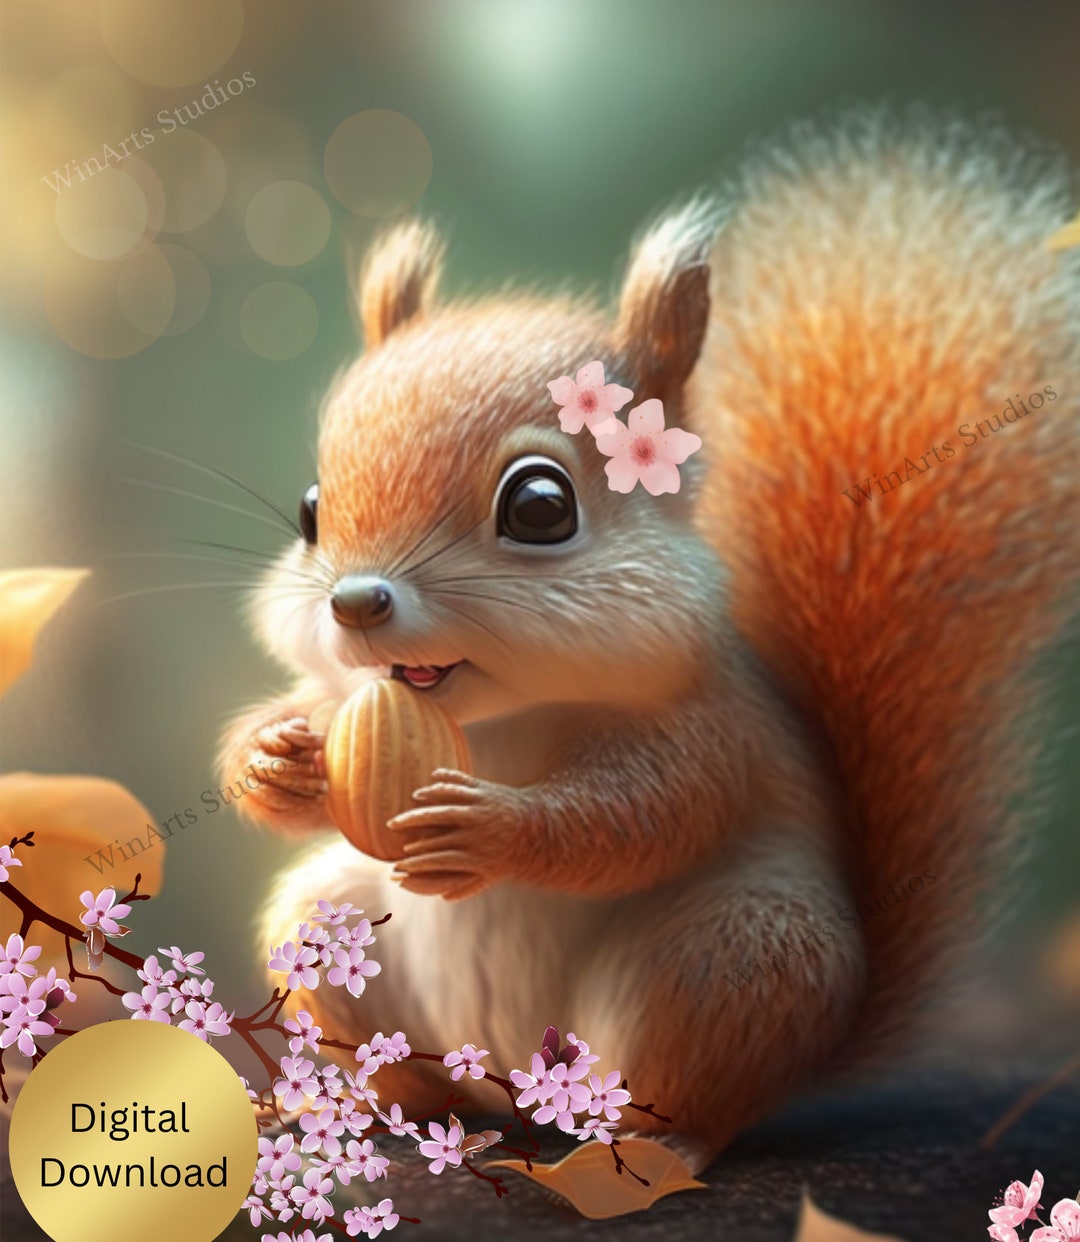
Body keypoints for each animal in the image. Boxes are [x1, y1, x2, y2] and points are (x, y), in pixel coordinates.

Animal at [218, 108, 1080, 1172]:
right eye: (310, 509)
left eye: (541, 507)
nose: (354, 603)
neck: (491, 720)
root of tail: (510, 1086)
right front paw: (274, 756)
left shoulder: (710, 726)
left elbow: (642, 816)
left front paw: (490, 829)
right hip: (331, 935)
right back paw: (366, 1114)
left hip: (732, 959)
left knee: (685, 1091)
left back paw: (655, 1148)